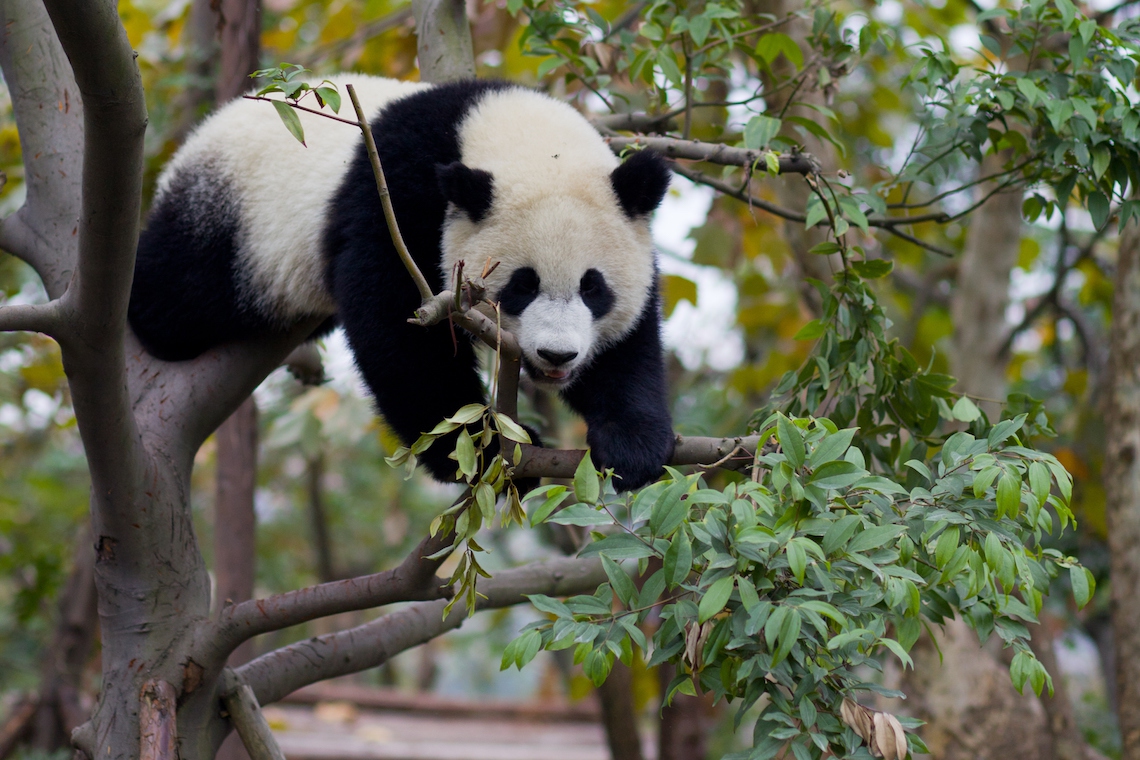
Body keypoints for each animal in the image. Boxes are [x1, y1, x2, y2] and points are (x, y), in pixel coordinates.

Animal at [128, 75, 675, 491]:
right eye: (522, 286)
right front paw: (477, 451)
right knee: (182, 288)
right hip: (233, 221)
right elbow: (395, 318)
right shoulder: (398, 191)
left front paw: (632, 446)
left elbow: (628, 345)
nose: (556, 356)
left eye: (592, 288)